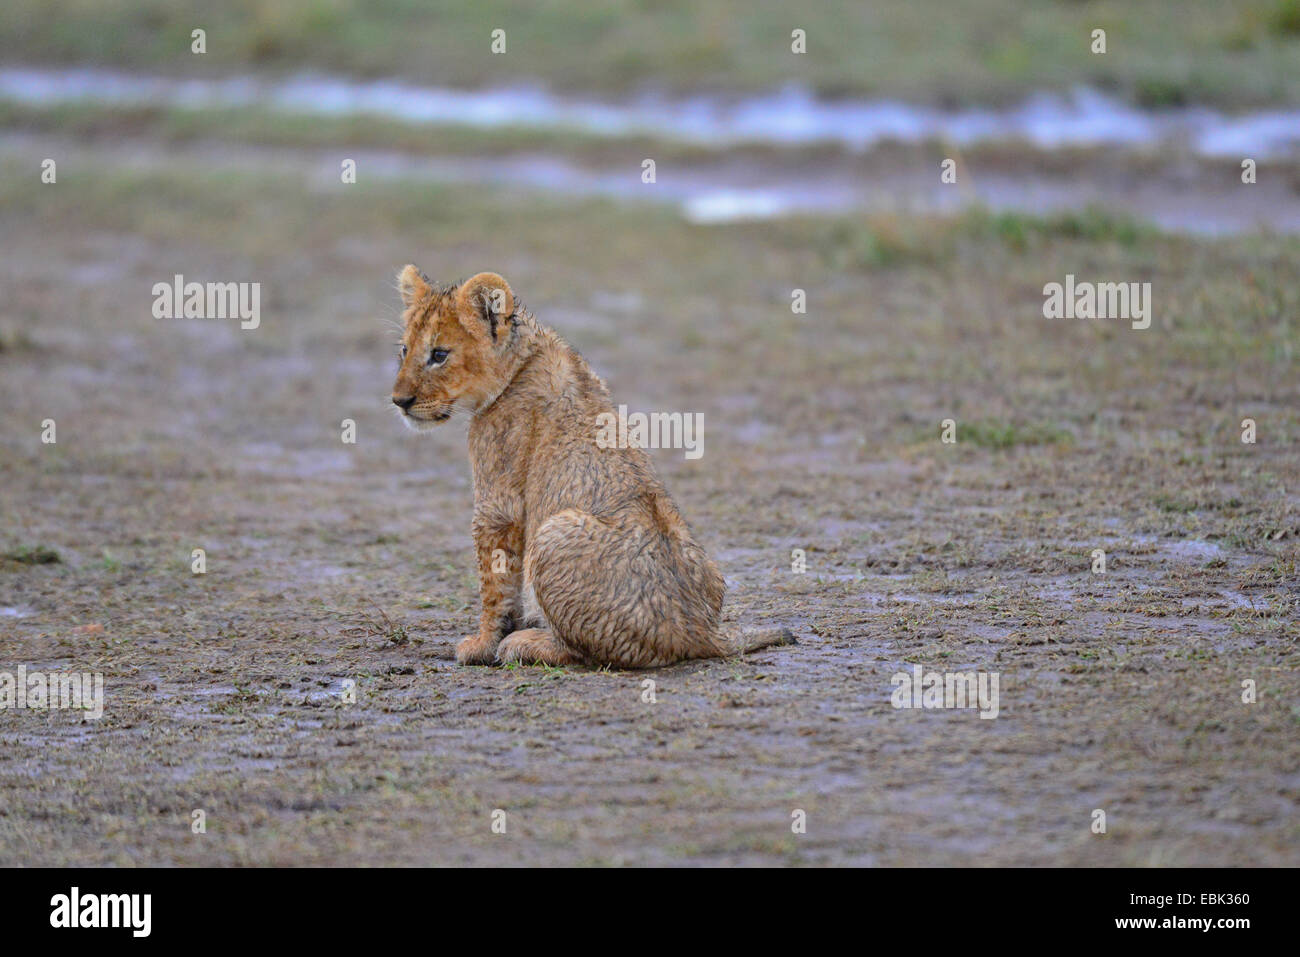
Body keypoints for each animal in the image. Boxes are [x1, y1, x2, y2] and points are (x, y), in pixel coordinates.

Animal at [390, 266, 796, 668]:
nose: (399, 401)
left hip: (553, 531)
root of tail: (700, 631)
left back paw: (525, 643)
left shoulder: (498, 500)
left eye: (439, 354)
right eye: (405, 350)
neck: (525, 356)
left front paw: (482, 645)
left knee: (580, 651)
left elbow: (495, 582)